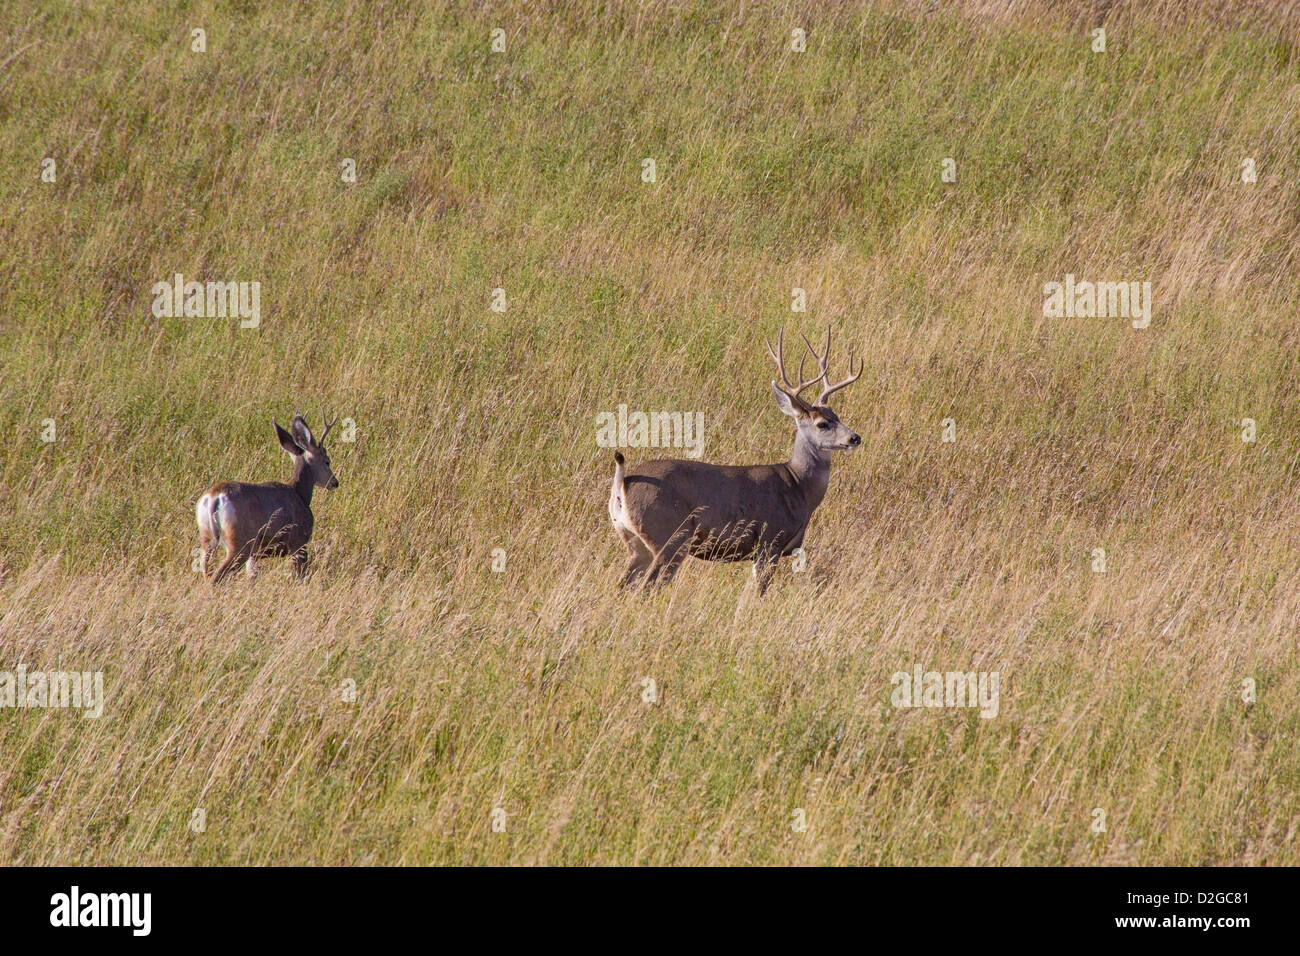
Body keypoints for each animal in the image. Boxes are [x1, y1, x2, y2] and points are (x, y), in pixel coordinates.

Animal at [193, 411, 340, 582]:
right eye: (327, 461)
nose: (335, 482)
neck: (300, 495)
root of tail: (215, 496)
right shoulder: (299, 541)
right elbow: (300, 576)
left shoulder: (255, 554)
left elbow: (252, 576)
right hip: (239, 541)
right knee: (218, 577)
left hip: (207, 537)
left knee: (207, 571)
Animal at [608, 332, 863, 595]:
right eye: (822, 424)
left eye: (837, 417)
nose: (855, 438)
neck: (797, 486)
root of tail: (622, 483)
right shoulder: (768, 540)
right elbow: (758, 593)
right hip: (669, 535)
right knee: (647, 587)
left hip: (636, 542)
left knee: (622, 585)